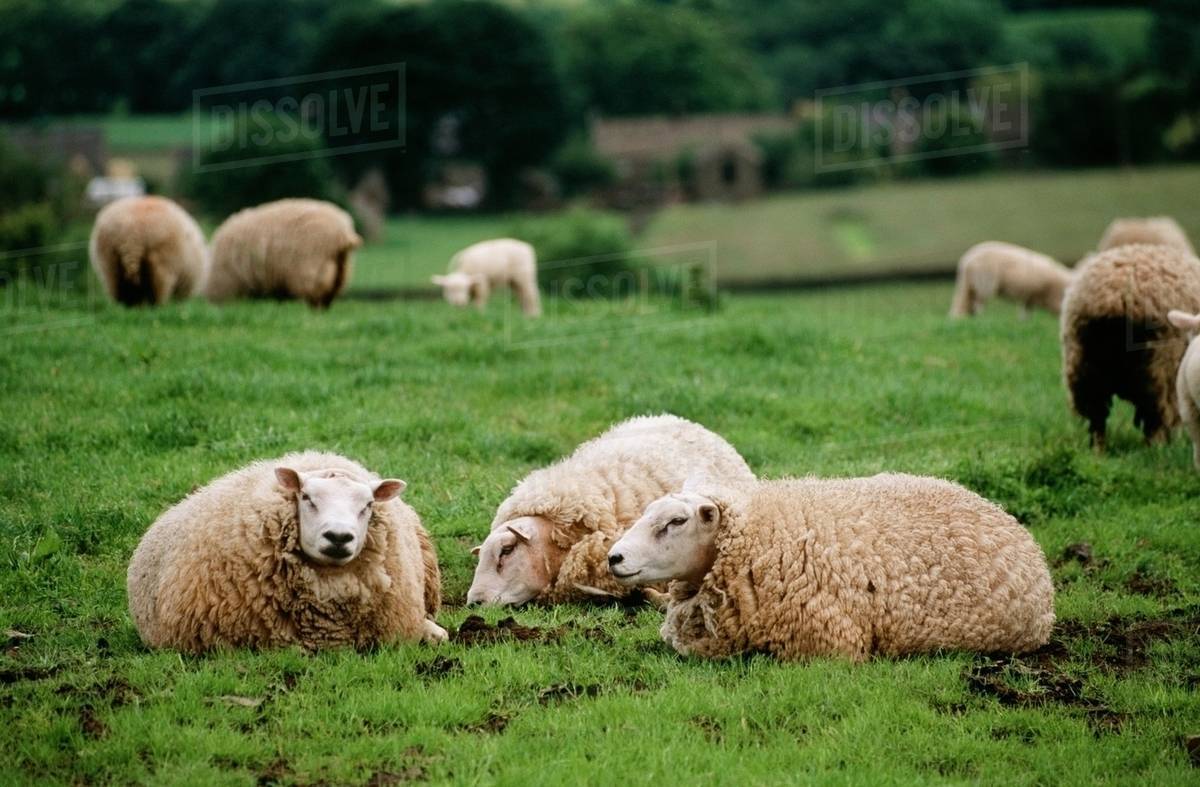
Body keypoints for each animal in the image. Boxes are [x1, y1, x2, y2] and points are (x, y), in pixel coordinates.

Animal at [1060, 243, 1200, 450]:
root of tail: (1115, 295)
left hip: (1082, 367)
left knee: (1096, 416)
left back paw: (1097, 450)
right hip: (1161, 367)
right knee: (1157, 415)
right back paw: (1157, 449)